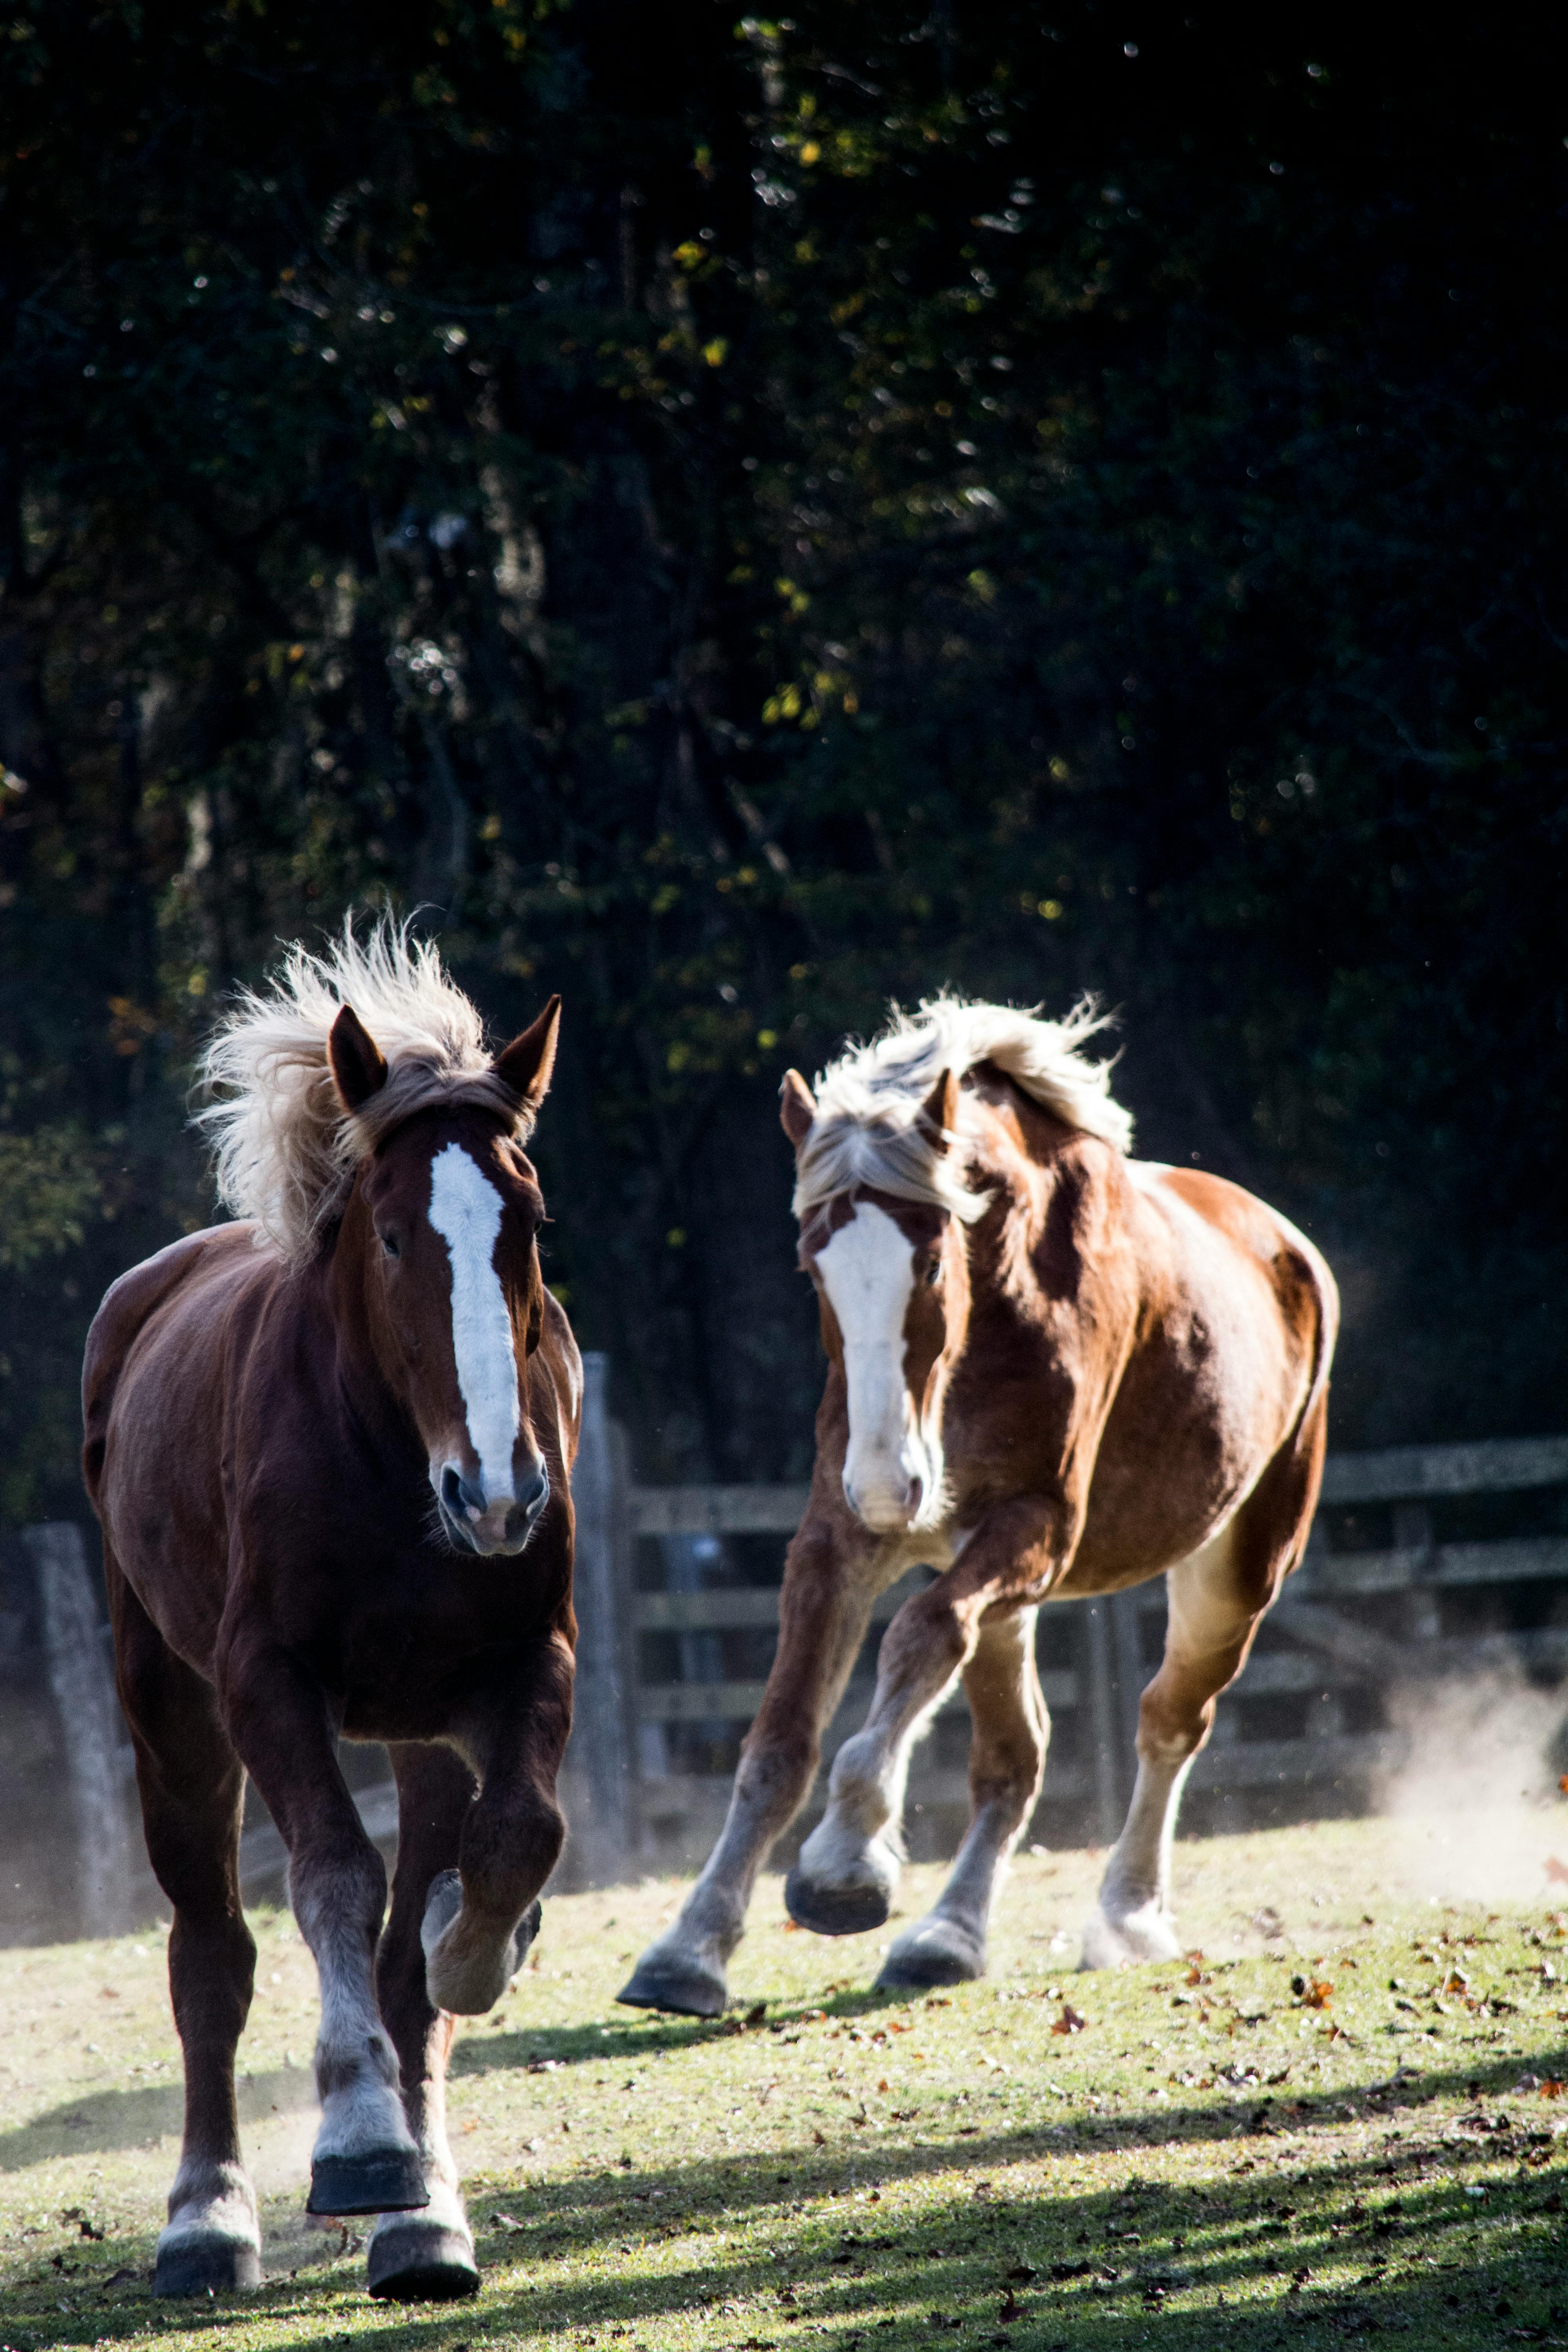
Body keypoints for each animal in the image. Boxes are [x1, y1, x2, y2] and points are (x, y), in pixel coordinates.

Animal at [81, 923, 581, 2303]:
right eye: (394, 1234)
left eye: (526, 1221)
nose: (500, 1491)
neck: (389, 1460)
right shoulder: (267, 1683)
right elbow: (336, 1884)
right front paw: (360, 2139)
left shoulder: (526, 1663)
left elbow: (508, 1849)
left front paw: (484, 1950)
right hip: (171, 1714)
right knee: (210, 1959)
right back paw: (206, 2218)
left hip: (419, 1727)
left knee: (418, 1936)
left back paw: (429, 2217)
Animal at [620, 997, 1337, 2017]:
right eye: (812, 1268)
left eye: (928, 1260)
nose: (891, 1484)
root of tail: (1290, 1247)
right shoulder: (837, 1540)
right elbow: (779, 1742)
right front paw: (688, 1949)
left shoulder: (1035, 1528)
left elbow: (917, 1636)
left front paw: (845, 1862)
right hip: (1008, 1595)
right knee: (1014, 1756)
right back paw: (947, 1939)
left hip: (1232, 1568)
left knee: (1168, 1722)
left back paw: (1124, 1918)